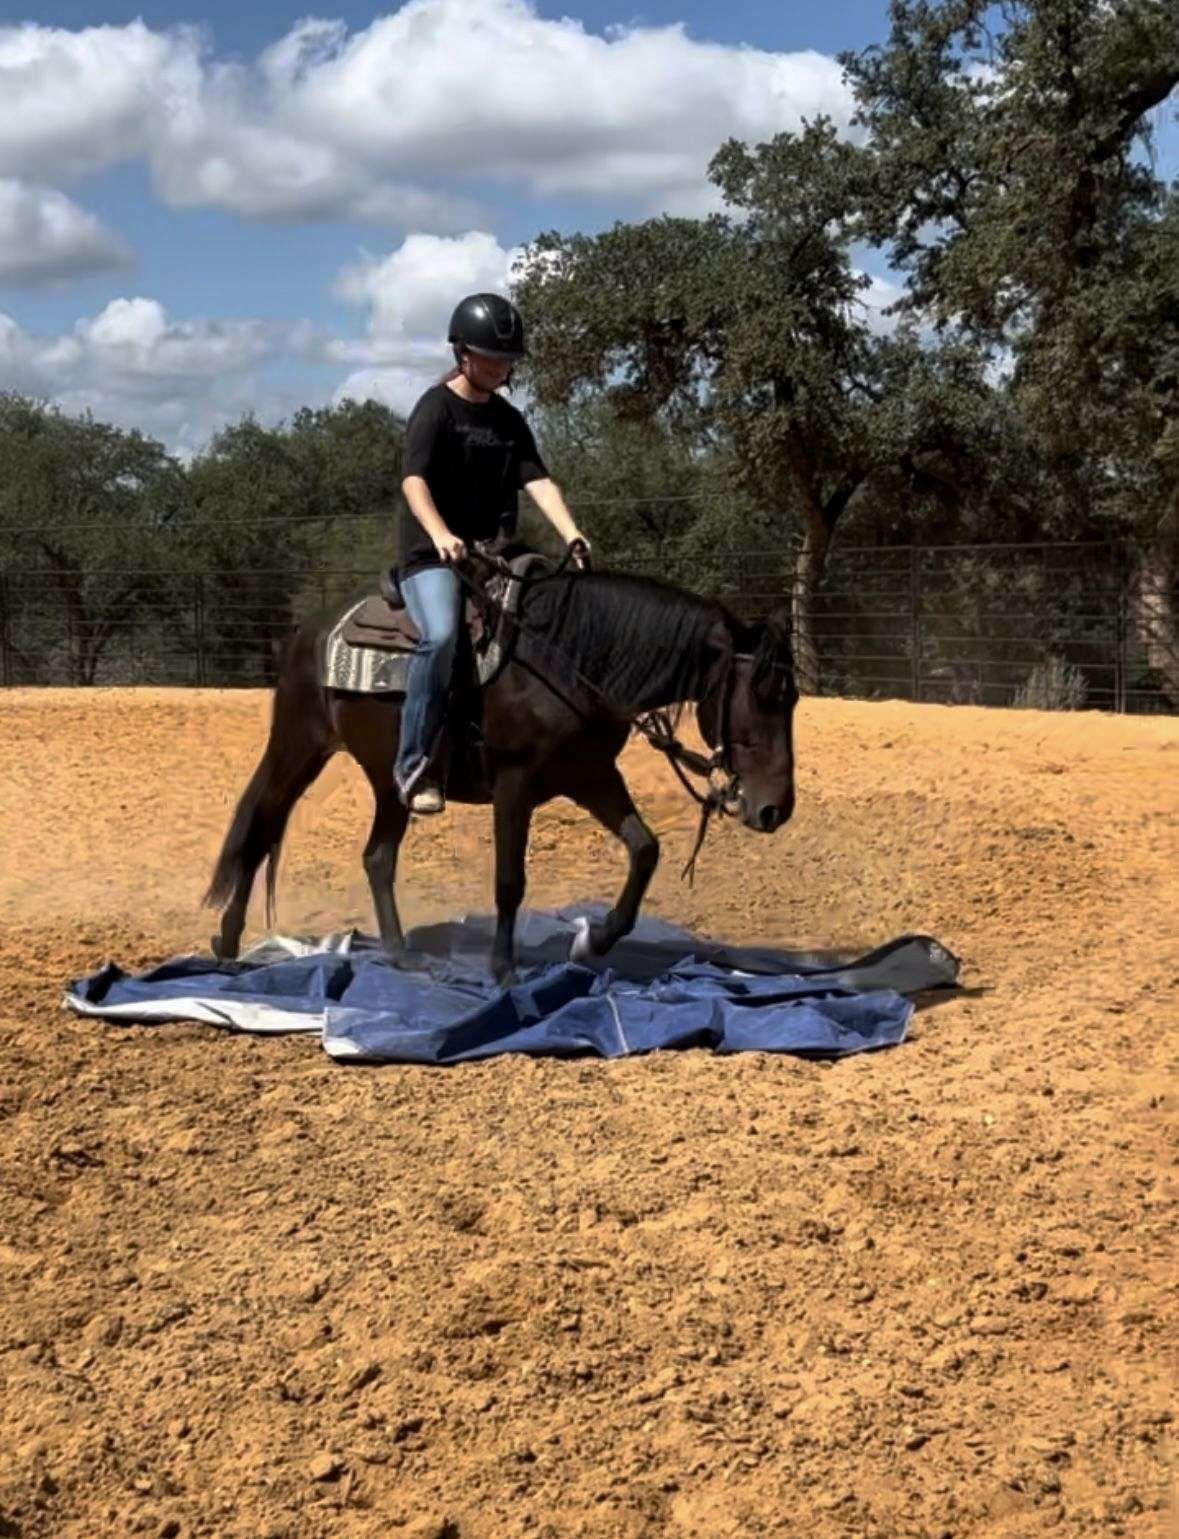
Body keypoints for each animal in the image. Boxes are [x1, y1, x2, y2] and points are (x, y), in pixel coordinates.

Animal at [205, 555, 798, 984]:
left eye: (791, 697)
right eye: (759, 695)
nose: (776, 809)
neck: (567, 661)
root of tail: (312, 630)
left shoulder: (592, 775)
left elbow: (644, 847)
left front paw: (594, 939)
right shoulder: (515, 784)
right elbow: (510, 880)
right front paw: (504, 970)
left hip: (389, 781)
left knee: (377, 857)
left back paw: (400, 954)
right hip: (298, 746)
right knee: (260, 828)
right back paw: (227, 942)